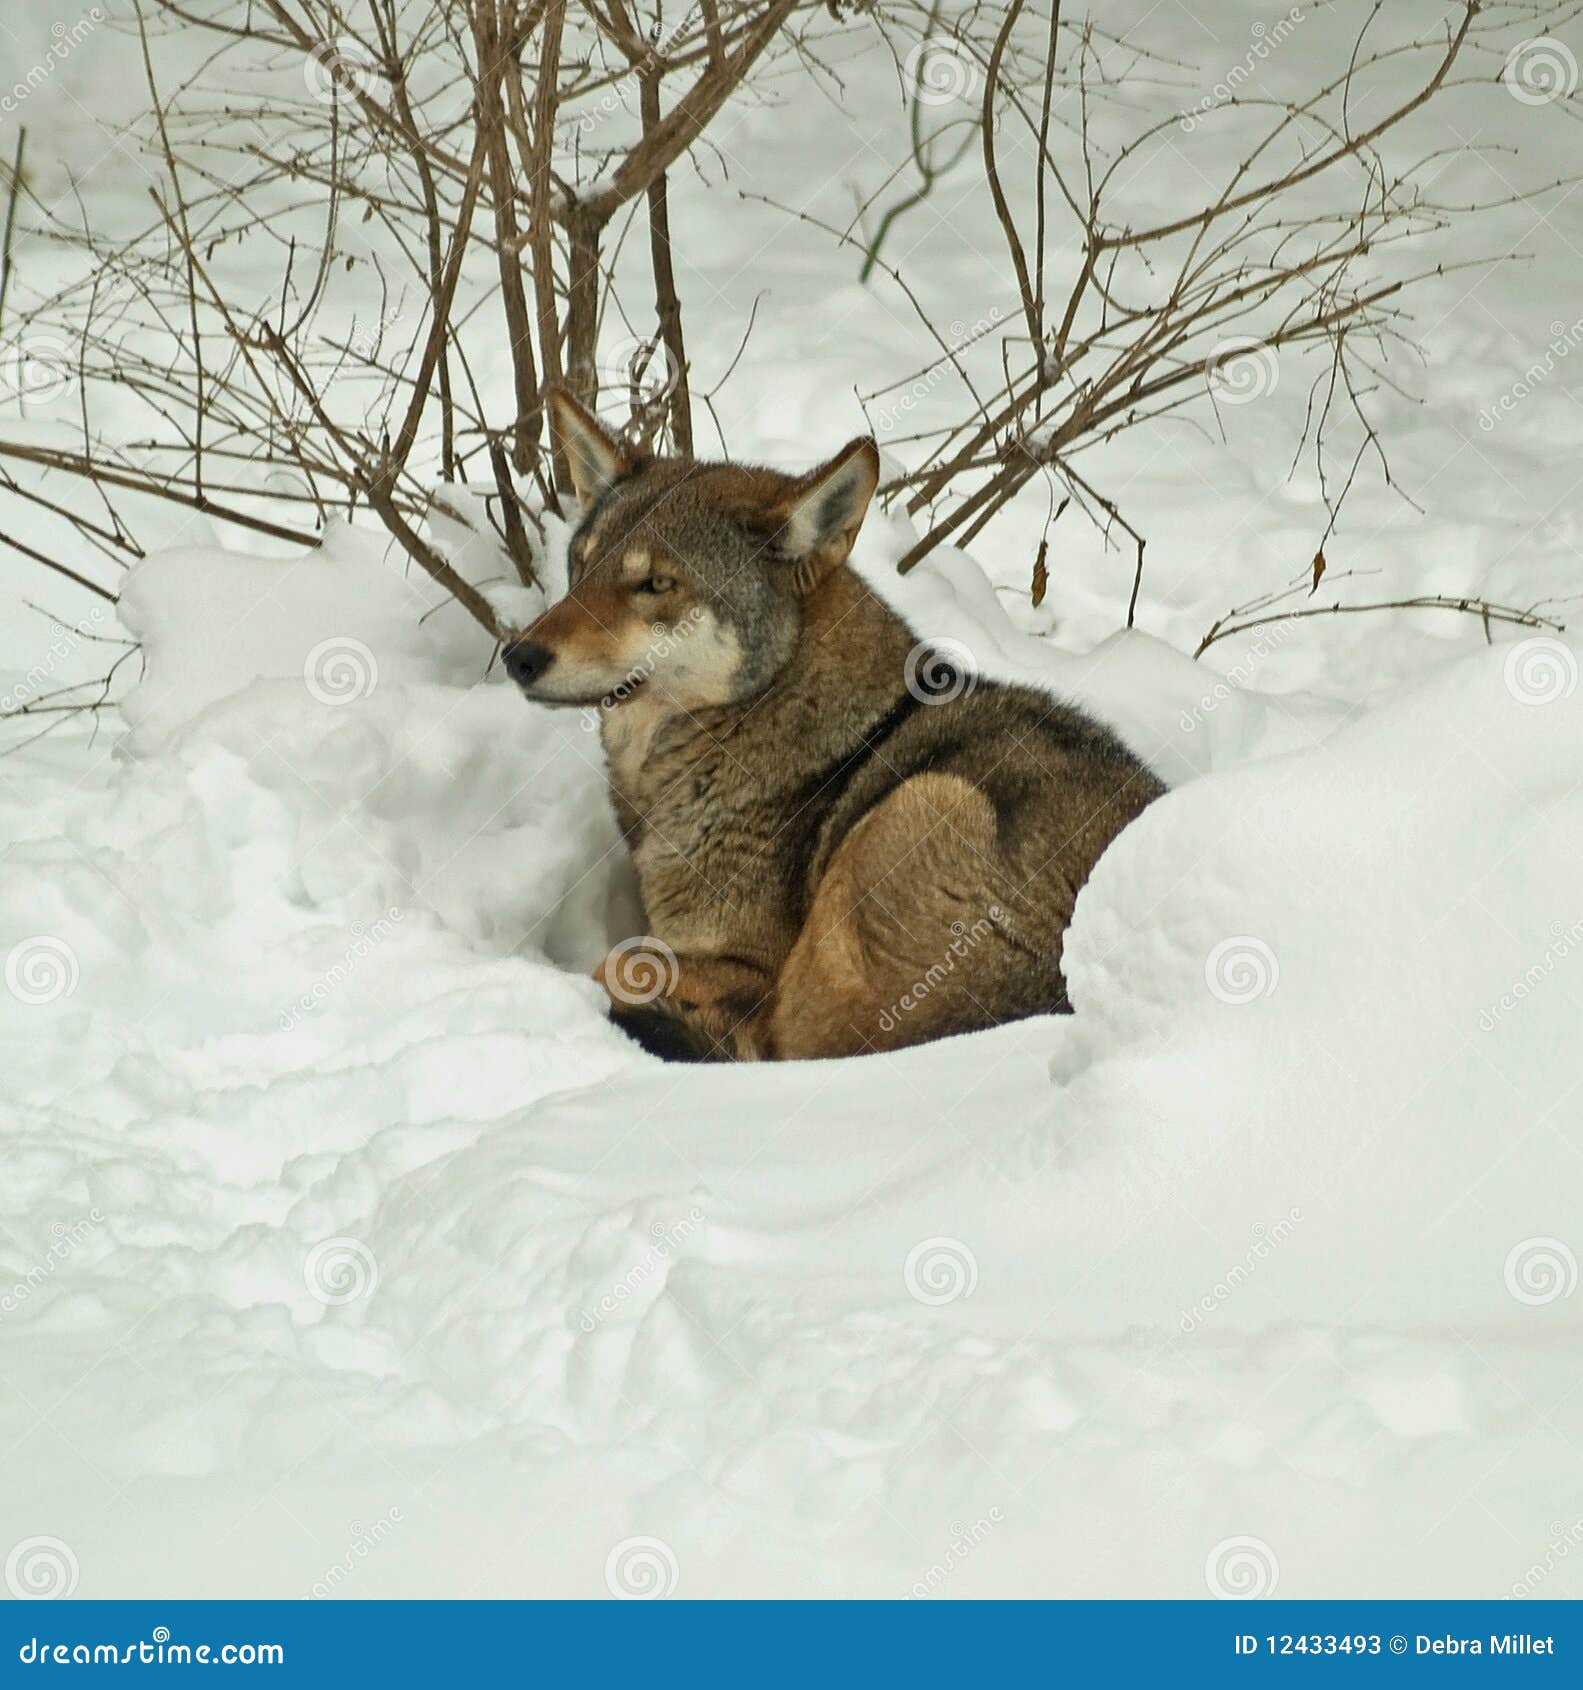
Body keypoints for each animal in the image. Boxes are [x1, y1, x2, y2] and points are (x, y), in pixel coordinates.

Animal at [503, 390, 1165, 1061]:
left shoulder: (747, 966)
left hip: (928, 801)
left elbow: (616, 966)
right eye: (580, 567)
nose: (519, 657)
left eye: (657, 584)